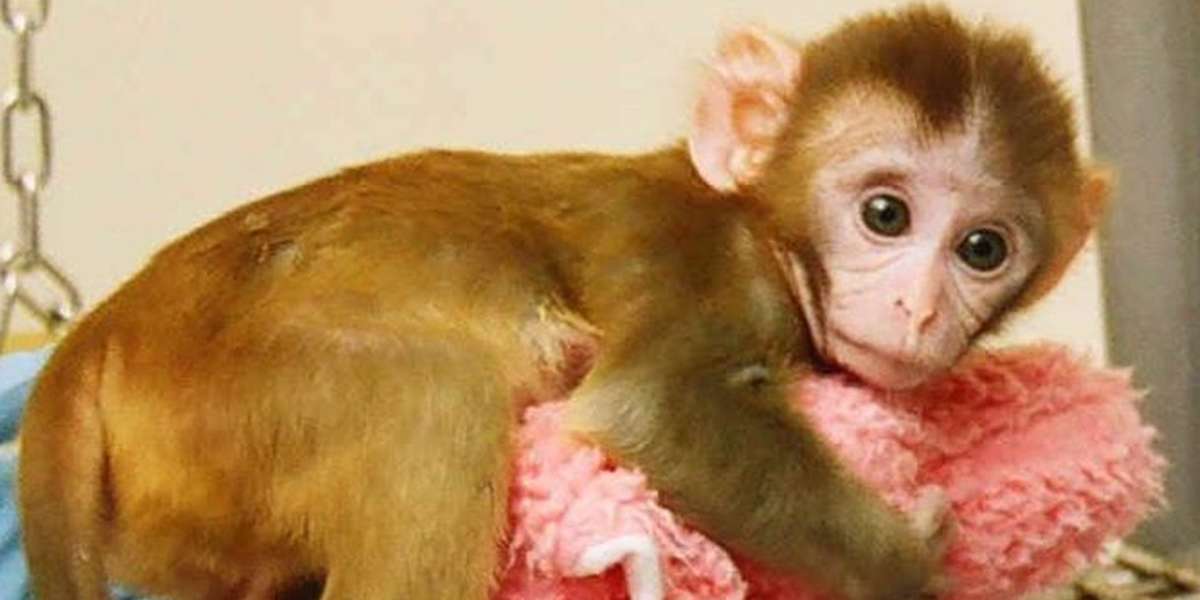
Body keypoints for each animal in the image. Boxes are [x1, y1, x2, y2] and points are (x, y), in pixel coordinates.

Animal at [17, 5, 1107, 600]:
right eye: (886, 213)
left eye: (981, 248)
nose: (919, 308)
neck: (759, 226)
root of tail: (102, 333)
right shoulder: (706, 268)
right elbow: (653, 410)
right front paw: (912, 556)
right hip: (230, 401)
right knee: (431, 399)